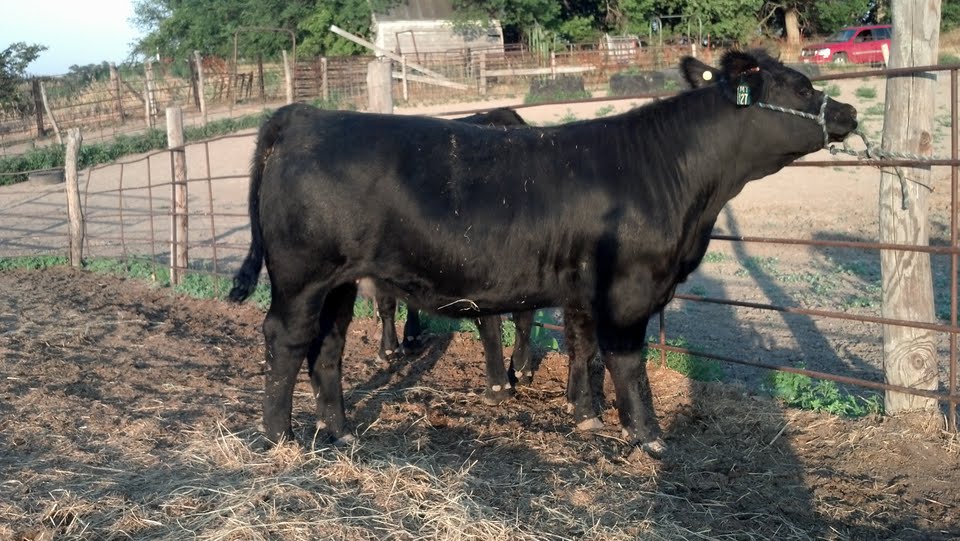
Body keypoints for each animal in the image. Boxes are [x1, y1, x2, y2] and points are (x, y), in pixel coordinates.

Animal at [229, 50, 858, 458]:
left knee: (328, 346)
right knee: (286, 339)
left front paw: (587, 414)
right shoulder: (627, 290)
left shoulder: (583, 288)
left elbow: (587, 350)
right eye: (801, 86)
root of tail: (303, 114)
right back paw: (279, 437)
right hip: (302, 276)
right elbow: (627, 361)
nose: (848, 113)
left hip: (338, 280)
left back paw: (338, 430)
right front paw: (647, 436)